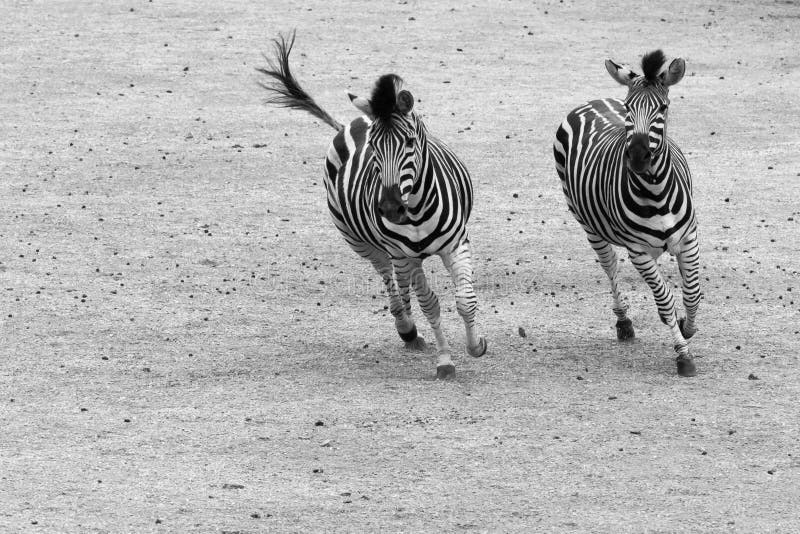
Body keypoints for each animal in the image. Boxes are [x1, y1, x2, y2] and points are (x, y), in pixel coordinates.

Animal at [257, 32, 487, 379]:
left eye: (410, 142)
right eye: (374, 146)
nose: (390, 209)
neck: (416, 208)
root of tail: (349, 122)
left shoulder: (456, 243)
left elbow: (465, 300)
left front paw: (475, 345)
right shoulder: (406, 254)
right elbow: (431, 304)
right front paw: (445, 360)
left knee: (401, 281)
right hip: (363, 243)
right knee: (388, 276)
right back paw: (407, 329)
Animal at [553, 50, 700, 377]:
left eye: (663, 107)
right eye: (630, 109)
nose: (637, 157)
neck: (656, 191)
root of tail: (592, 101)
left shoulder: (689, 240)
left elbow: (693, 294)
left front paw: (687, 326)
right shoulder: (638, 251)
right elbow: (665, 302)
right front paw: (683, 355)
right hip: (589, 225)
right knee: (610, 267)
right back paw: (624, 322)